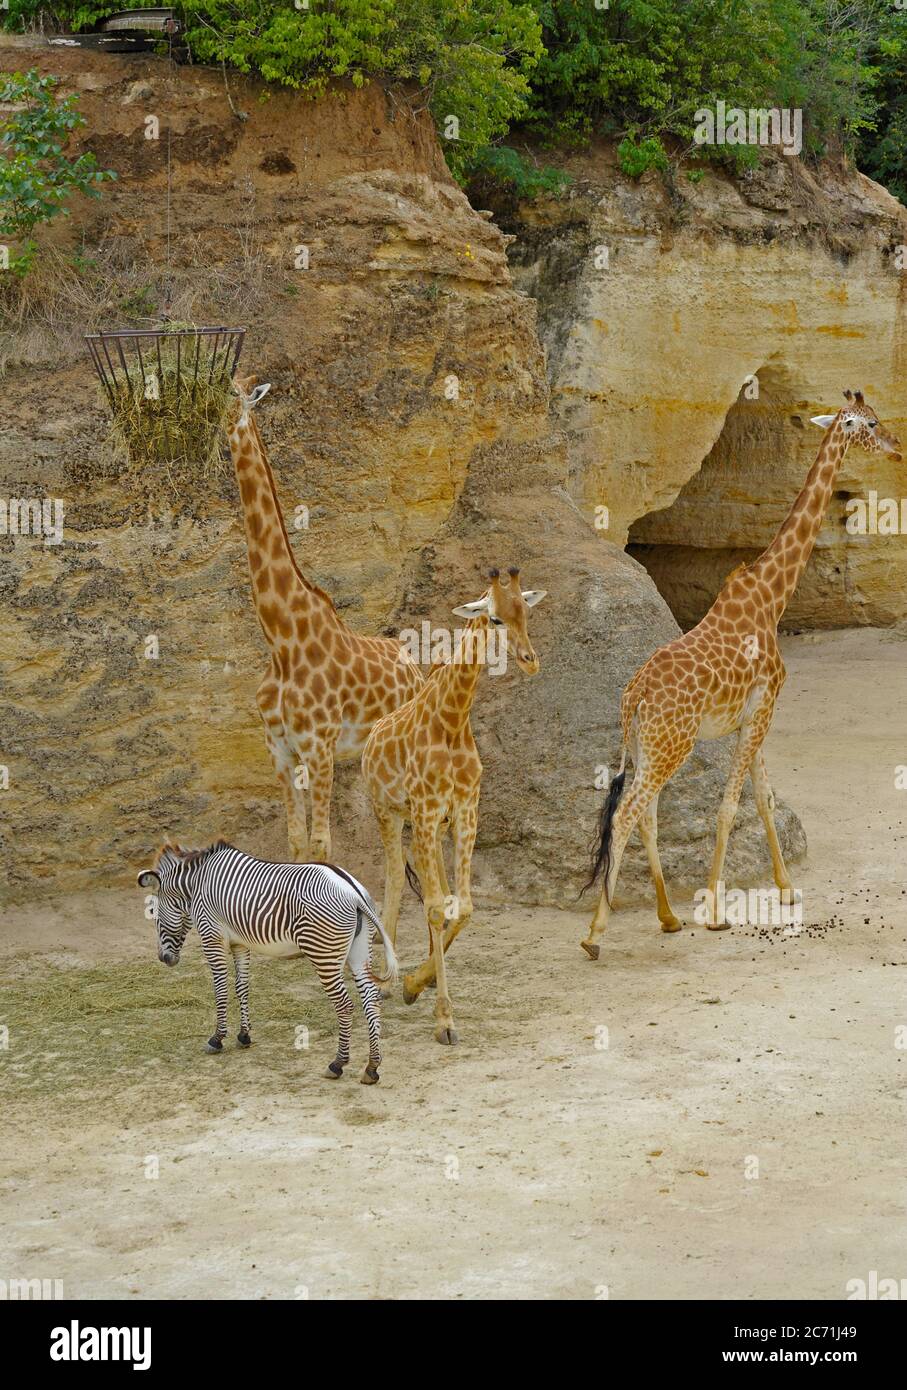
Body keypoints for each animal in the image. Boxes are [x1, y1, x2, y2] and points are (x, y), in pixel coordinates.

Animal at [136, 840, 397, 1084]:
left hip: (323, 953)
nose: (164, 959)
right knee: (371, 1000)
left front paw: (217, 1038)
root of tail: (353, 891)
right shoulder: (239, 943)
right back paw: (372, 1067)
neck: (197, 884)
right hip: (359, 951)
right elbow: (242, 987)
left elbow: (220, 989)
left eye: (154, 914)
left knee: (344, 1005)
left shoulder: (212, 937)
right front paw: (243, 1036)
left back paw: (337, 1064)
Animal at [227, 375, 424, 862]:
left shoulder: (319, 747)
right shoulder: (279, 750)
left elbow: (320, 847)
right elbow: (296, 843)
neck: (281, 639)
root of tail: (416, 669)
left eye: (229, 396)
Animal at [362, 567, 546, 1044]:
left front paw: (417, 984)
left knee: (436, 886)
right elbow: (431, 905)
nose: (530, 660)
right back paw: (382, 977)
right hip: (388, 812)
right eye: (495, 619)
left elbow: (460, 906)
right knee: (394, 876)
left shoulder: (465, 808)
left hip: (433, 823)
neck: (452, 720)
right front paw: (443, 1017)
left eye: (526, 612)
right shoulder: (426, 808)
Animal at [582, 390, 902, 956]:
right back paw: (597, 934)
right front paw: (714, 911)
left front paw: (787, 890)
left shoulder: (755, 713)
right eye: (868, 423)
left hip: (646, 746)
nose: (895, 445)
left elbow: (763, 797)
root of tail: (633, 697)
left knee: (646, 815)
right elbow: (732, 806)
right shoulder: (764, 706)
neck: (773, 597)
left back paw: (667, 917)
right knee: (627, 813)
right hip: (672, 744)